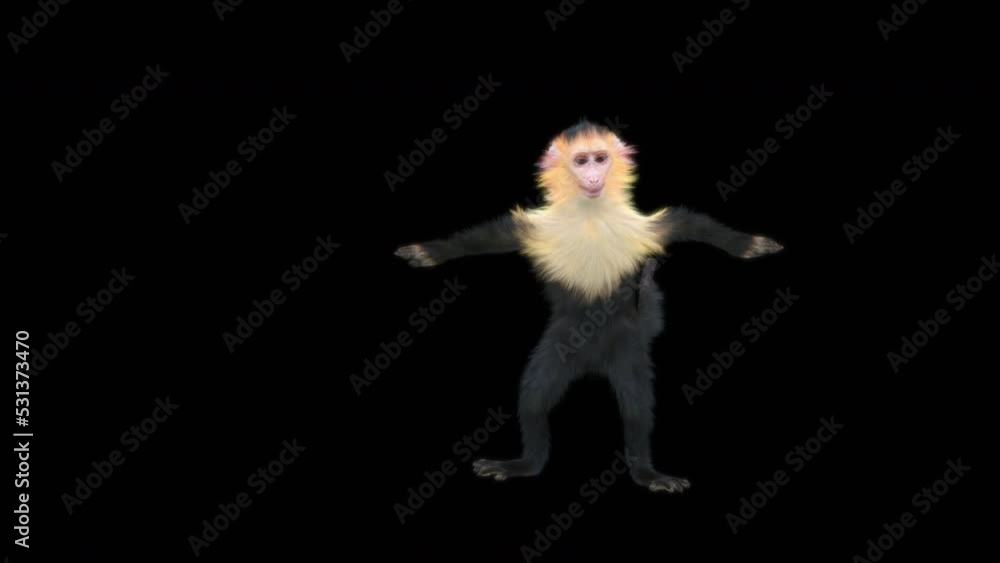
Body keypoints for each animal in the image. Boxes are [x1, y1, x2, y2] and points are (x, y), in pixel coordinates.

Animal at [394, 120, 783, 493]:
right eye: (581, 162)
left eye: (601, 158)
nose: (595, 177)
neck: (591, 214)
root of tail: (593, 364)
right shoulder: (539, 230)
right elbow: (490, 238)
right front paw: (431, 252)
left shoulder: (642, 229)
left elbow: (687, 224)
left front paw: (748, 245)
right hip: (561, 344)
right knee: (534, 397)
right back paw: (525, 464)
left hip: (627, 347)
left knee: (637, 408)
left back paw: (645, 473)